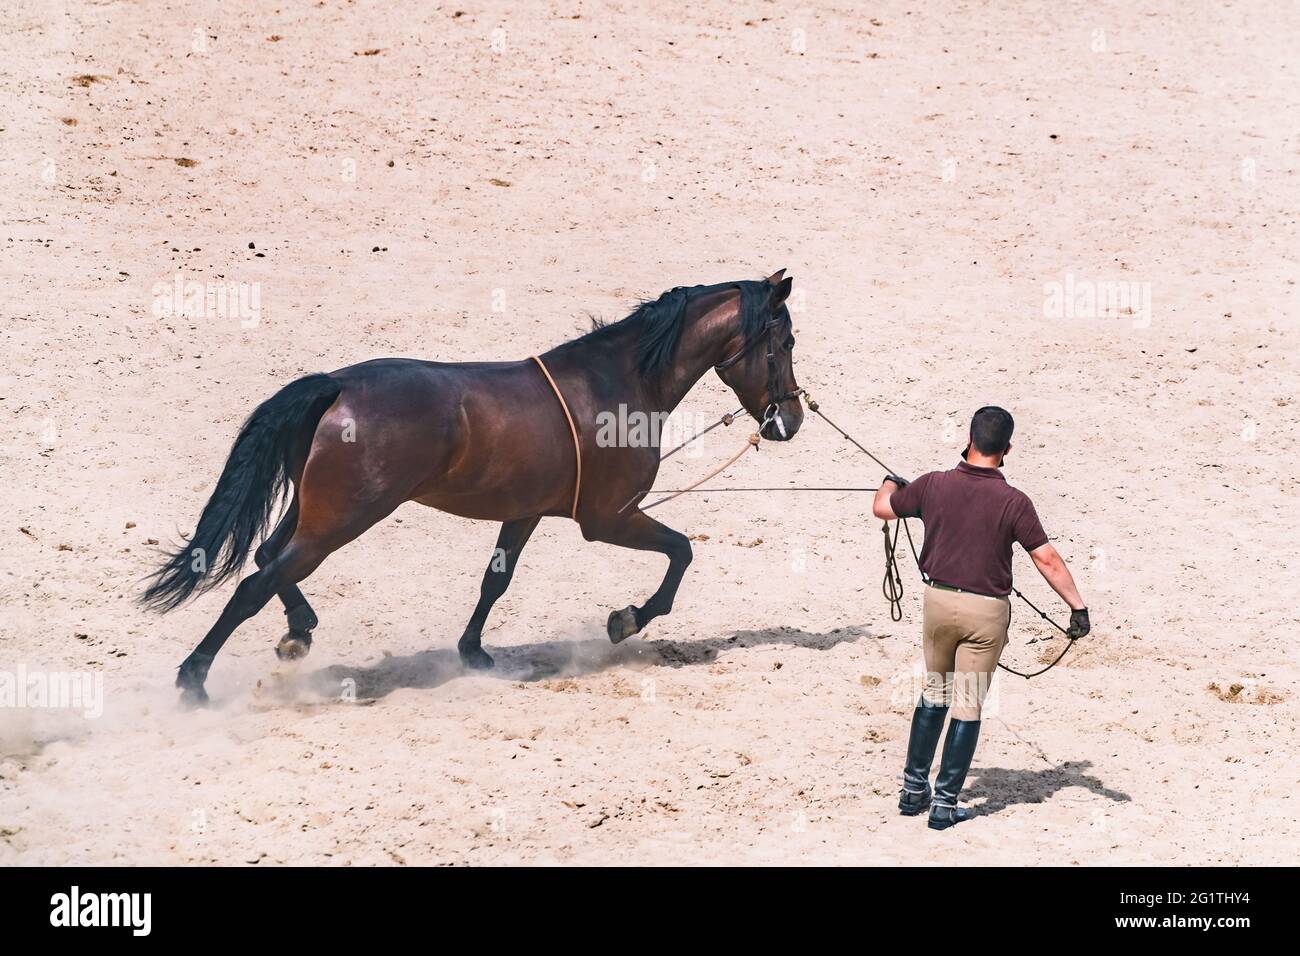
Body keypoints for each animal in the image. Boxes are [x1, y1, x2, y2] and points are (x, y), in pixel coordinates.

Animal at [143, 270, 804, 704]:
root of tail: (337, 383)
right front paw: (627, 620)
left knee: (267, 559)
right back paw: (193, 681)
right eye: (786, 343)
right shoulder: (609, 518)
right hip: (342, 520)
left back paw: (298, 633)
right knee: (254, 584)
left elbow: (495, 581)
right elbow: (681, 552)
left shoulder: (527, 512)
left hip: (314, 513)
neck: (619, 382)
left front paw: (474, 653)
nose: (790, 420)